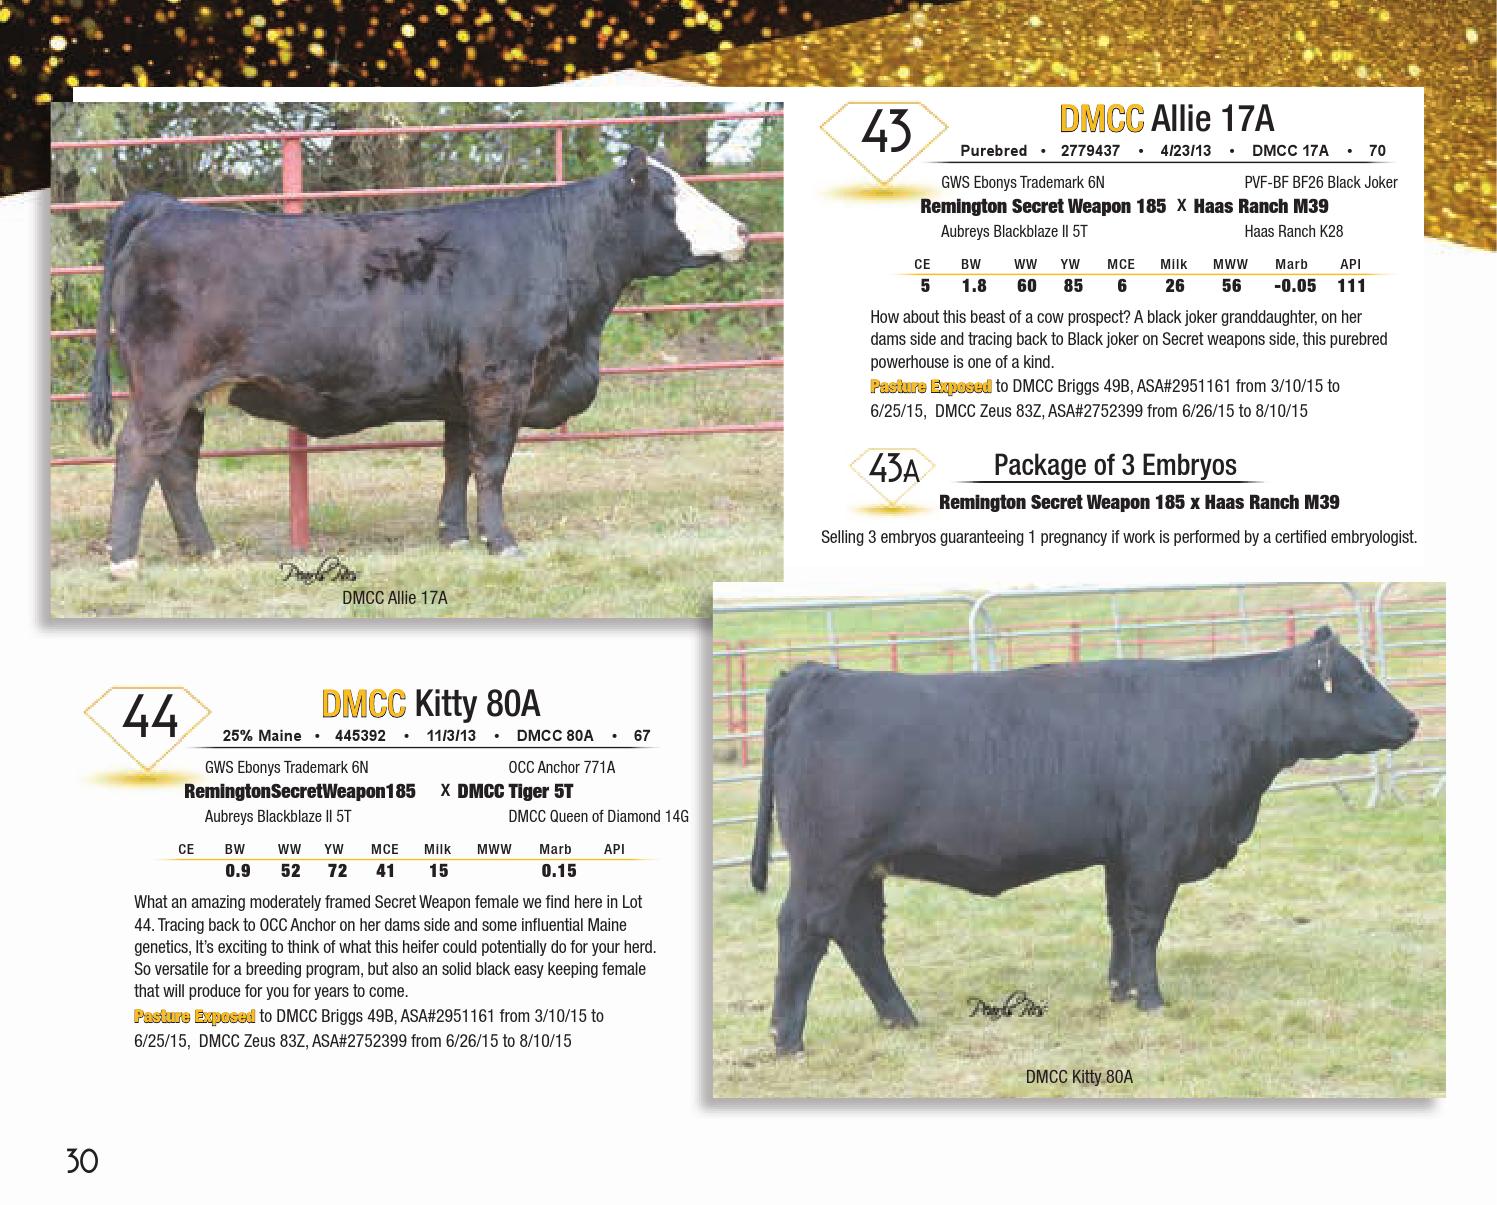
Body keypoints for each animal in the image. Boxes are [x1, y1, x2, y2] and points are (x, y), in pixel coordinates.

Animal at [84, 148, 750, 579]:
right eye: (672, 195)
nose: (744, 229)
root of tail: (169, 207)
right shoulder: (499, 377)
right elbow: (492, 464)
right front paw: (501, 542)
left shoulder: (461, 390)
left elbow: (456, 460)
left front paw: (453, 537)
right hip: (165, 384)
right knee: (139, 453)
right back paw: (123, 560)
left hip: (192, 393)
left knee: (177, 464)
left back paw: (203, 550)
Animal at [749, 626, 1418, 1055]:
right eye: (1359, 681)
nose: (1412, 719)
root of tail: (820, 674)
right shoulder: (1156, 848)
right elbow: (1146, 924)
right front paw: (1151, 1001)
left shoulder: (1120, 853)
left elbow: (1119, 921)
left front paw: (1121, 993)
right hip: (828, 861)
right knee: (803, 931)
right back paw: (788, 1039)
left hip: (863, 868)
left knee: (859, 936)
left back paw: (902, 1020)